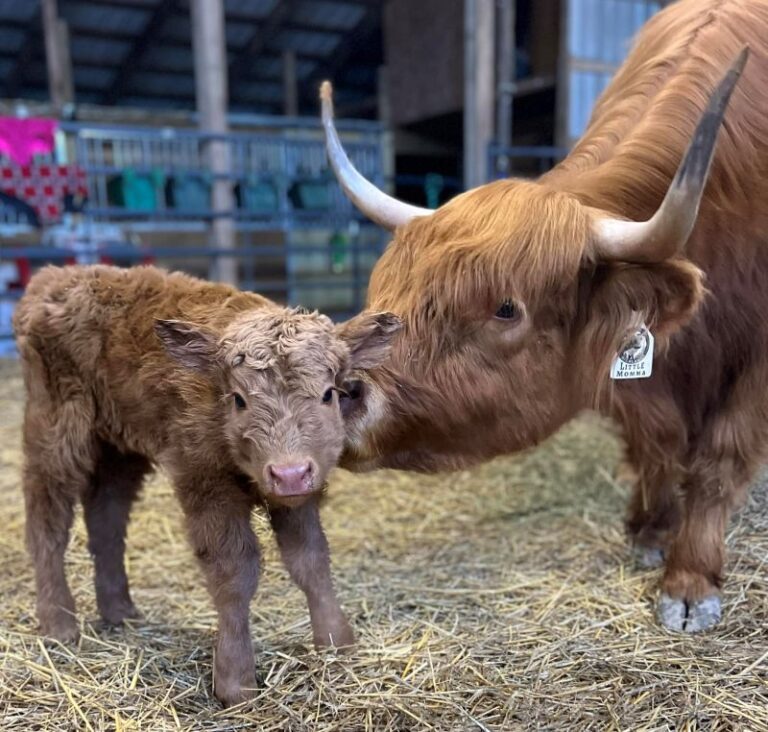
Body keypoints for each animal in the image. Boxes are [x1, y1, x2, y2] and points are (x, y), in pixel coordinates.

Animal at [12, 264, 400, 706]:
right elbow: (234, 573)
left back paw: (120, 611)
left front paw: (336, 643)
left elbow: (310, 559)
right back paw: (59, 623)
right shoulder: (205, 483)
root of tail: (55, 277)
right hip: (56, 431)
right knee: (49, 520)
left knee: (106, 519)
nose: (288, 473)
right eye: (239, 399)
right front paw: (236, 682)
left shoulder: (301, 496)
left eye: (328, 394)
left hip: (118, 449)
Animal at [320, 0, 768, 633]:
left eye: (506, 308)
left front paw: (690, 579)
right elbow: (655, 440)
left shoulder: (756, 359)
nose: (337, 392)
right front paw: (651, 529)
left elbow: (719, 459)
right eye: (384, 288)